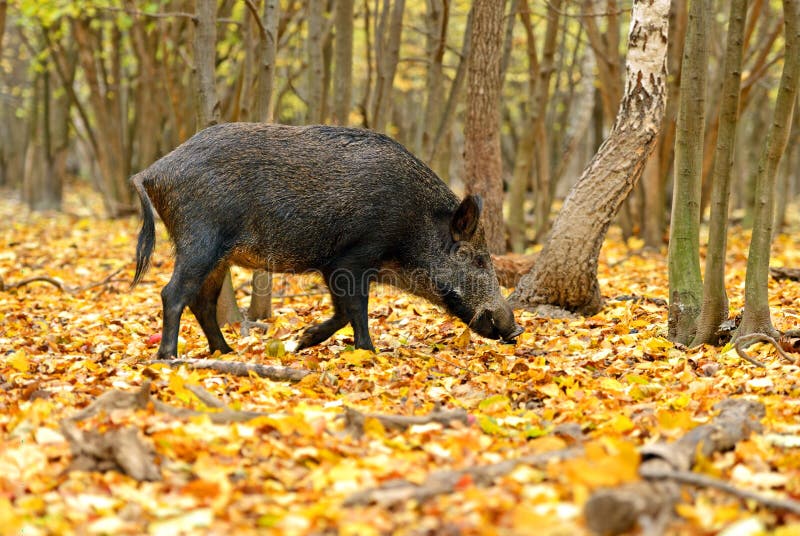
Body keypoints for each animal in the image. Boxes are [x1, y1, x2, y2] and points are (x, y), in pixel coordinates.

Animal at [131, 123, 523, 359]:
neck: (411, 225)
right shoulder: (353, 257)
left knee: (203, 303)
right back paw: (170, 357)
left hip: (217, 256)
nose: (515, 328)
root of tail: (151, 171)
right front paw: (369, 353)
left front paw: (301, 341)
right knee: (173, 293)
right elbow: (357, 310)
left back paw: (226, 353)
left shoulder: (333, 265)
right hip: (200, 240)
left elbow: (341, 312)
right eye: (477, 258)